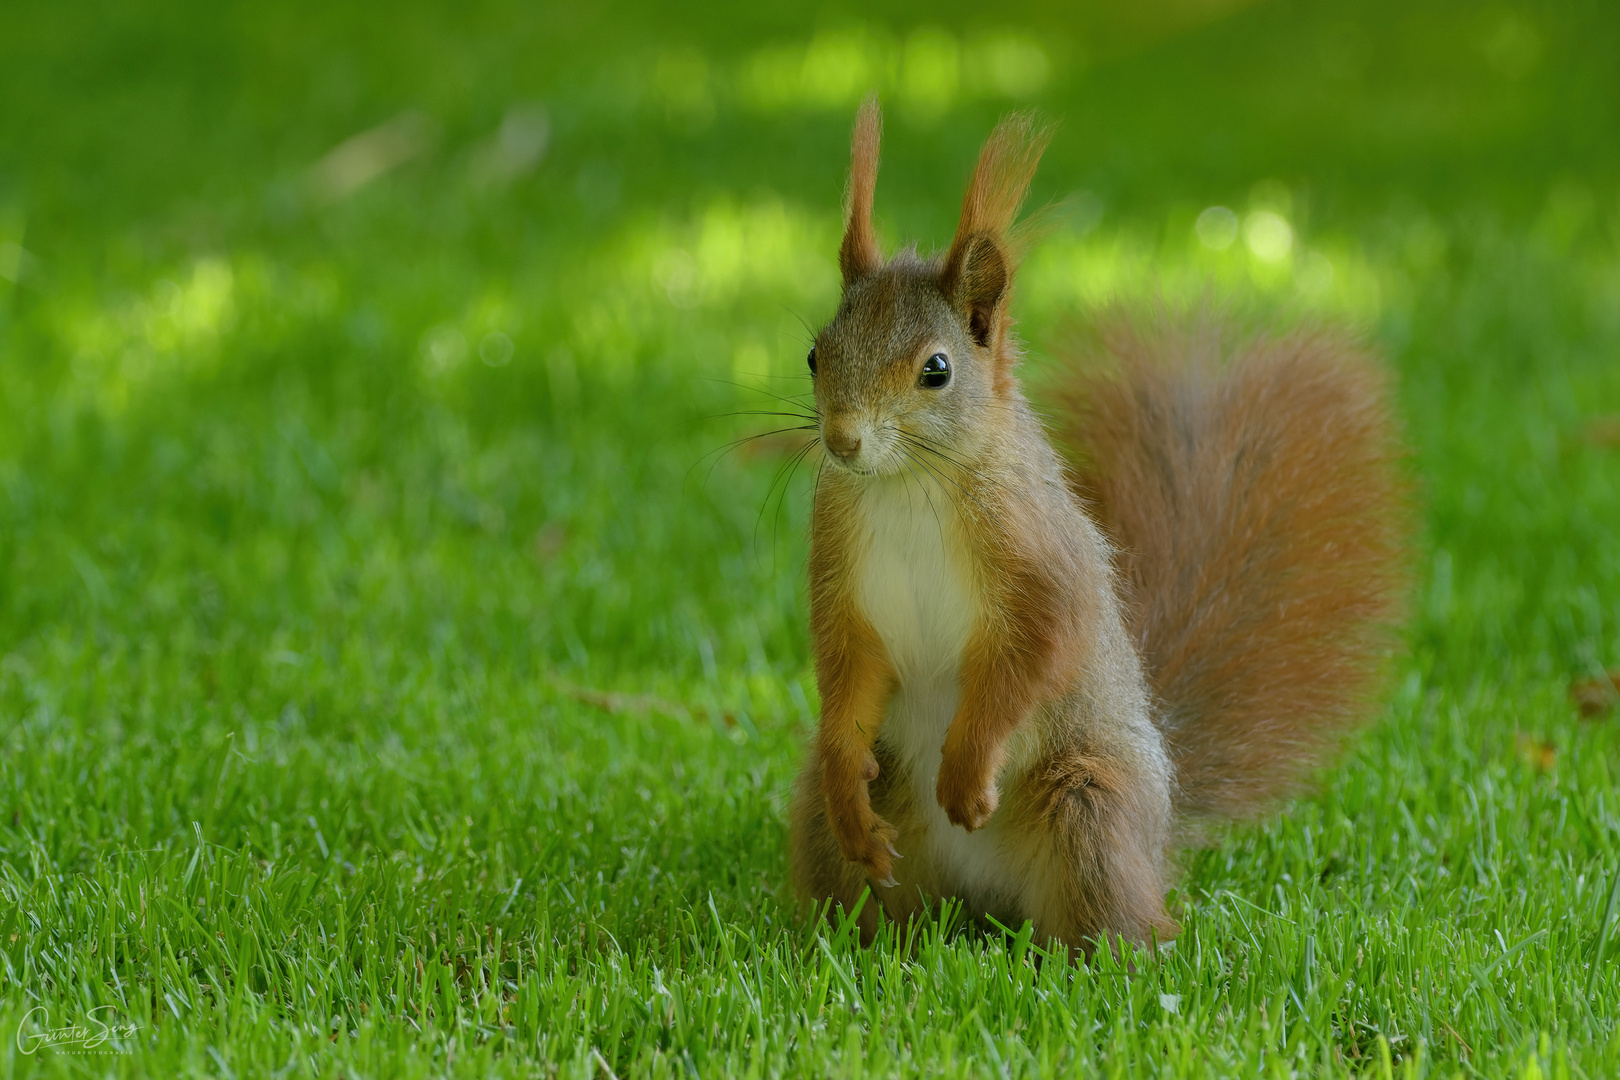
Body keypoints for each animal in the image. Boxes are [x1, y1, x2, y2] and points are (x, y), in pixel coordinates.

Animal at [784, 97, 1406, 952]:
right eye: (816, 355)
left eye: (937, 370)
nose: (842, 441)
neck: (908, 487)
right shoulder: (840, 569)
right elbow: (847, 668)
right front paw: (851, 782)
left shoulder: (1040, 559)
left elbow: (1032, 654)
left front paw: (968, 773)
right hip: (851, 832)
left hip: (1088, 805)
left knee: (1116, 914)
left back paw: (1099, 953)